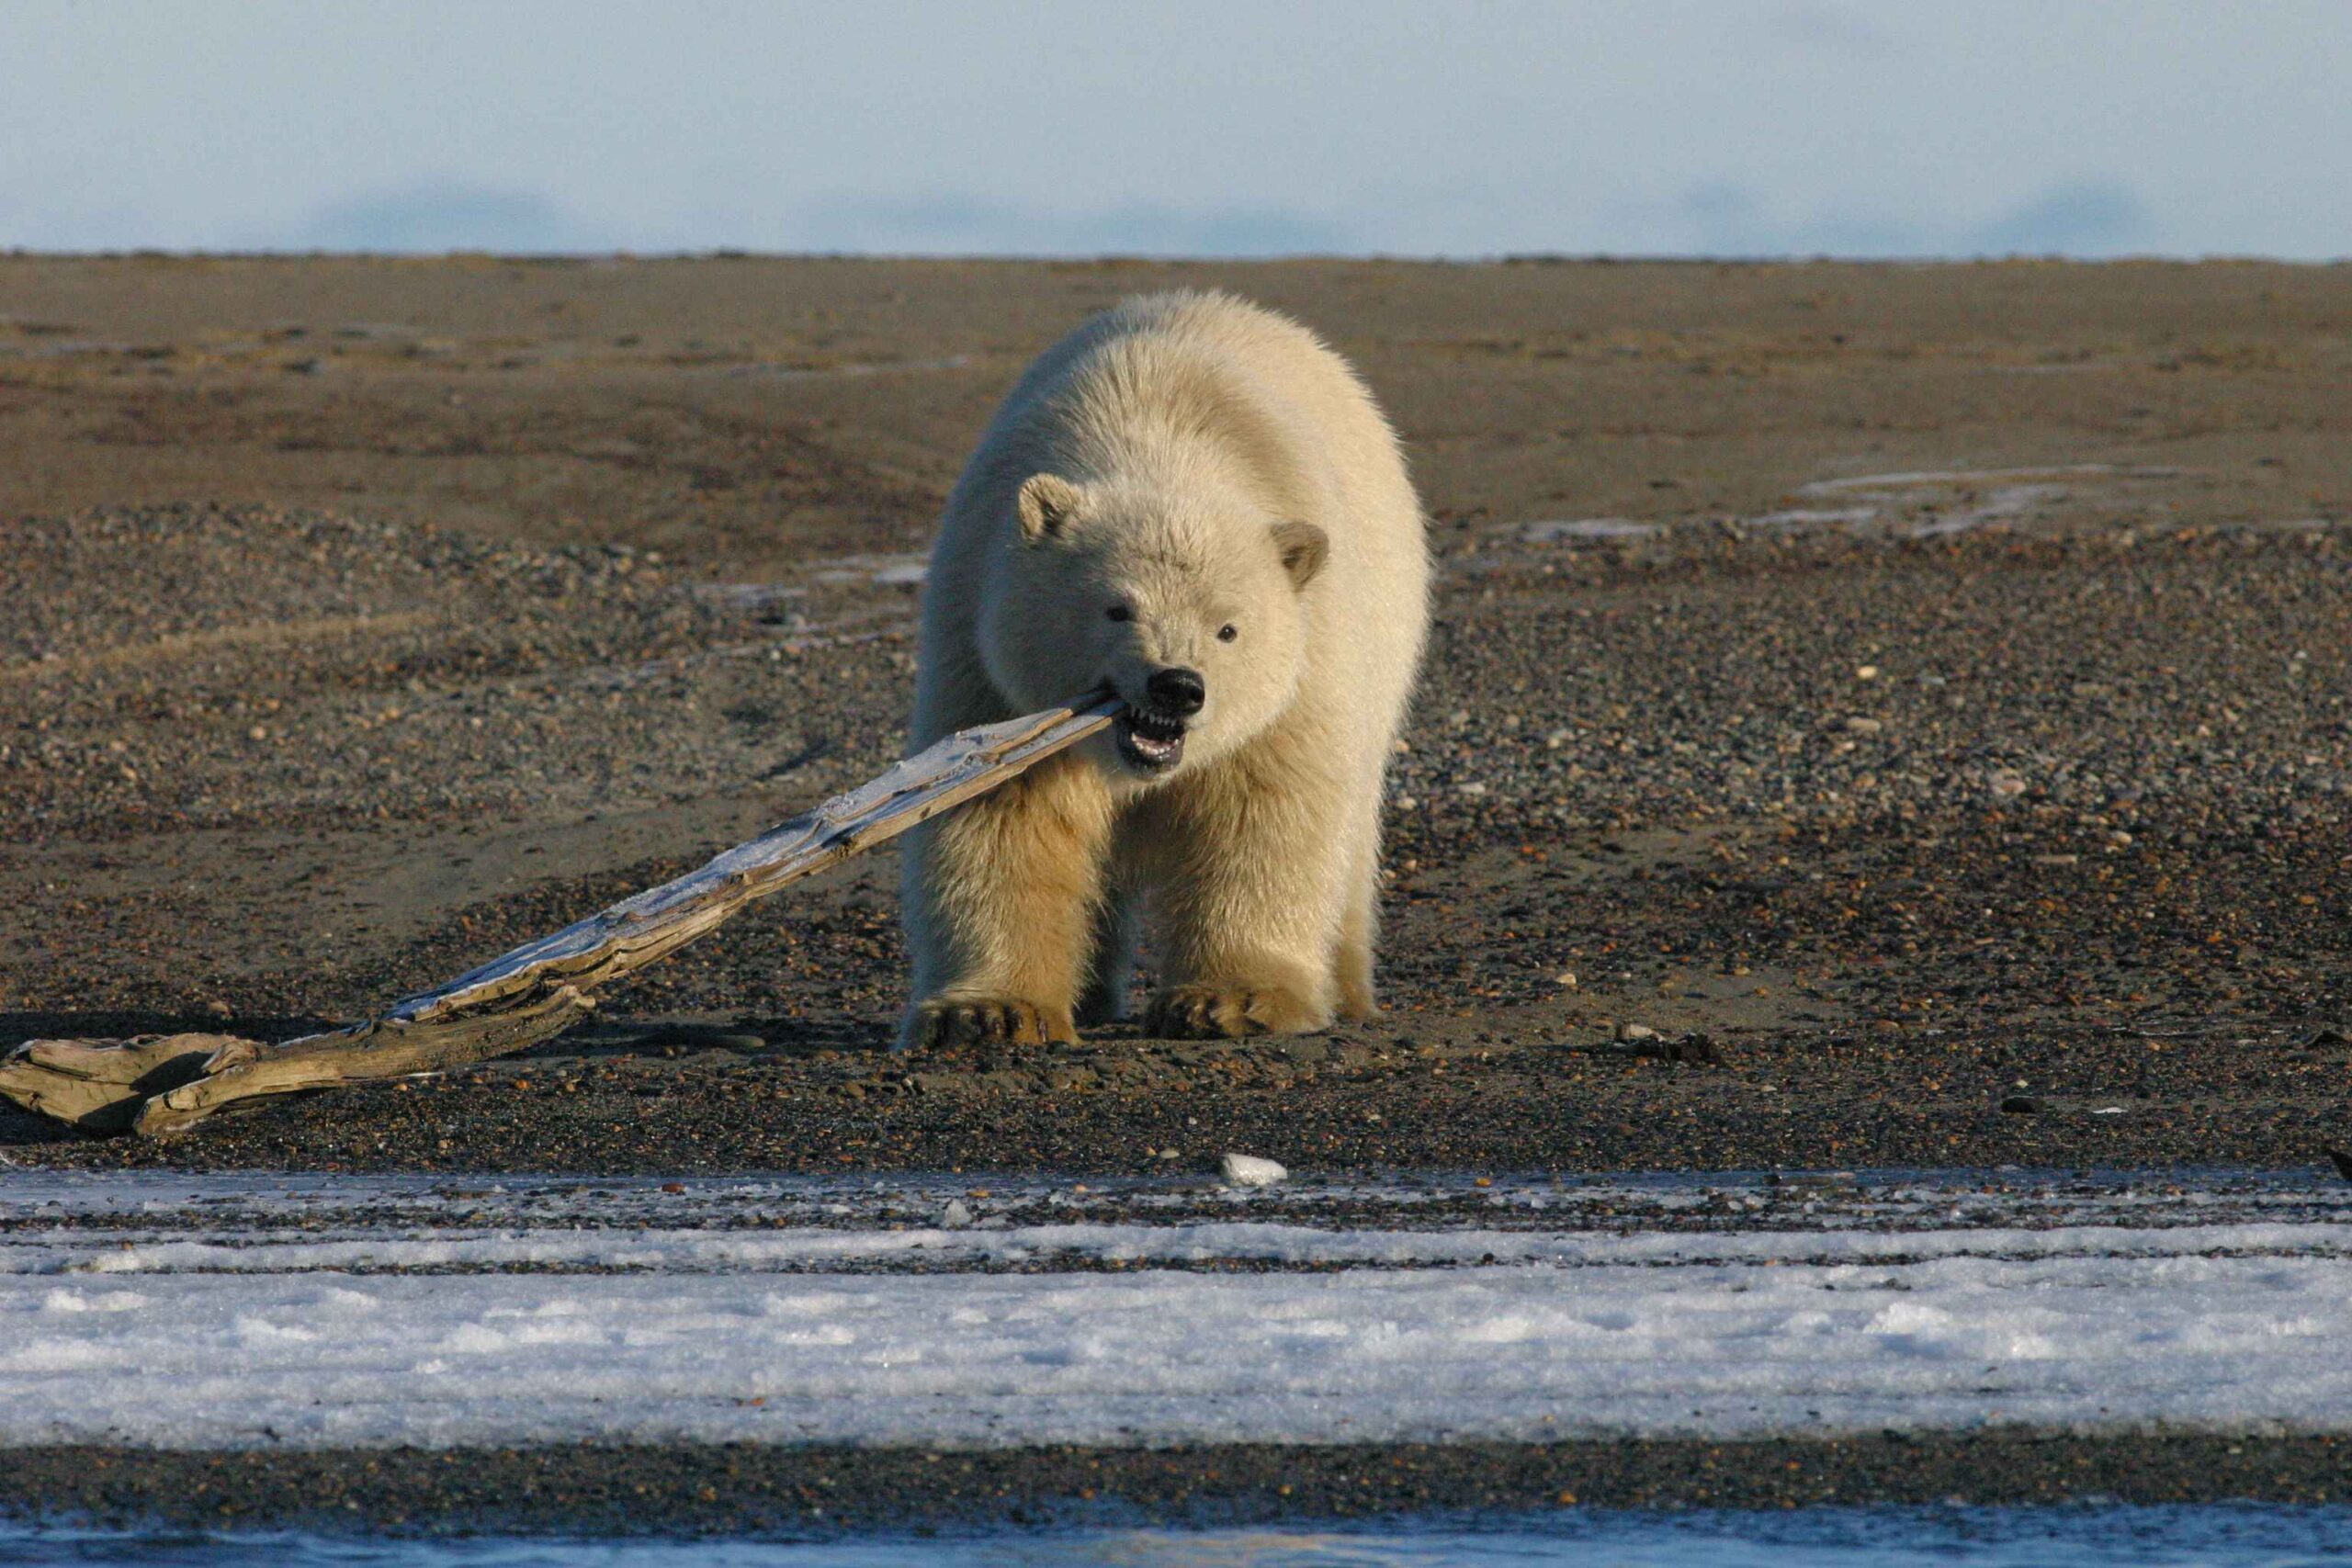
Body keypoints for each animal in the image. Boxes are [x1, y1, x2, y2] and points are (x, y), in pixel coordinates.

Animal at [899, 290, 1430, 1048]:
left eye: (1229, 628)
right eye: (1117, 608)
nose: (1177, 687)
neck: (1158, 438)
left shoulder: (1303, 661)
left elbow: (1264, 809)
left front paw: (1232, 999)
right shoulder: (985, 647)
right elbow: (1003, 814)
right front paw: (989, 1011)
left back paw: (1348, 987)